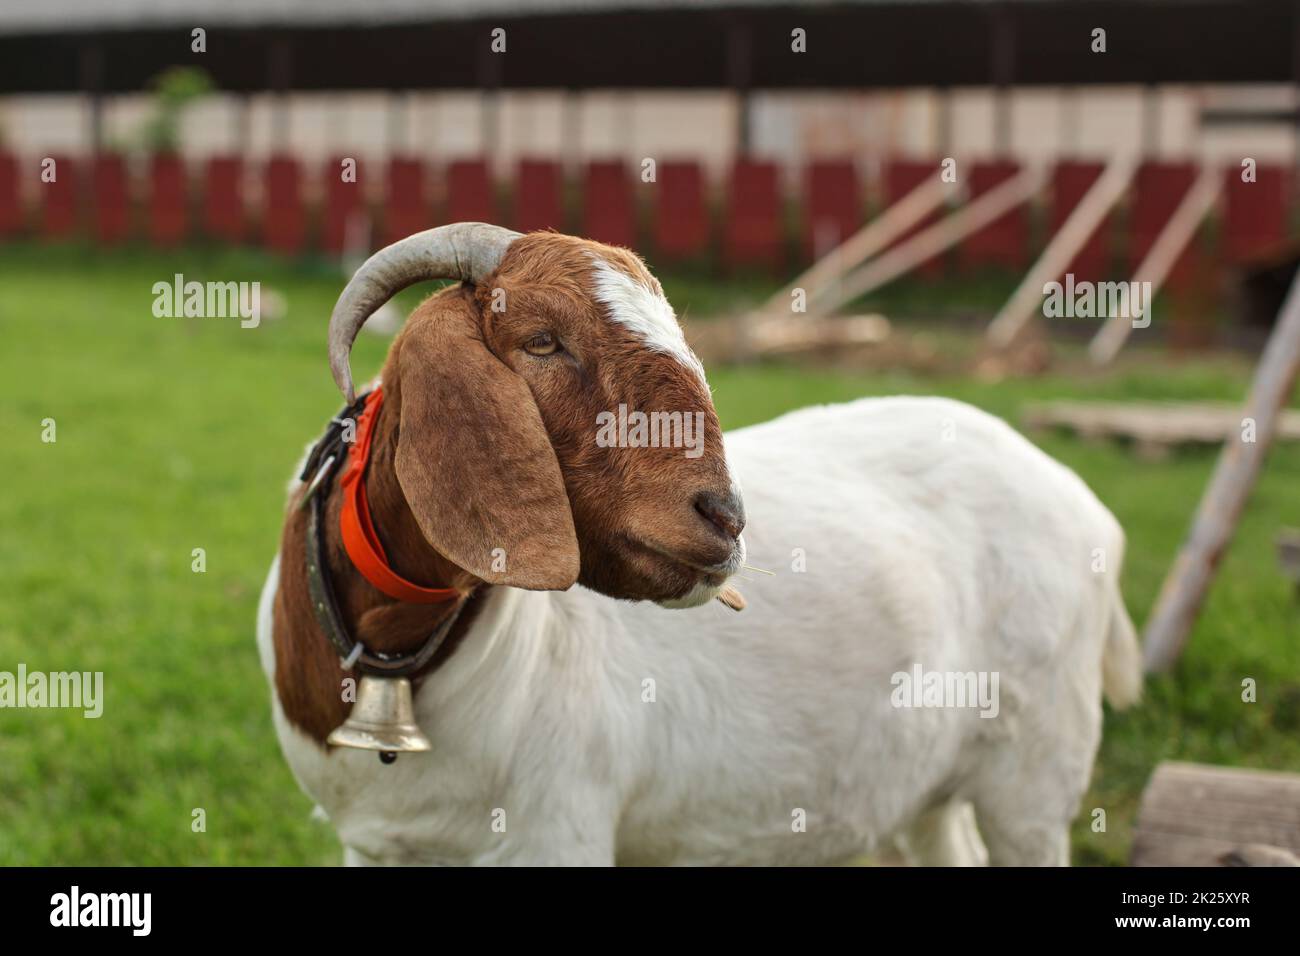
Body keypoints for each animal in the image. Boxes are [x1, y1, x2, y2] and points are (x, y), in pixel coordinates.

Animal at [257, 223, 1142, 866]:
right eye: (542, 340)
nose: (725, 516)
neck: (394, 654)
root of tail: (1084, 503)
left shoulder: (556, 828)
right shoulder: (379, 849)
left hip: (1036, 771)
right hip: (927, 786)